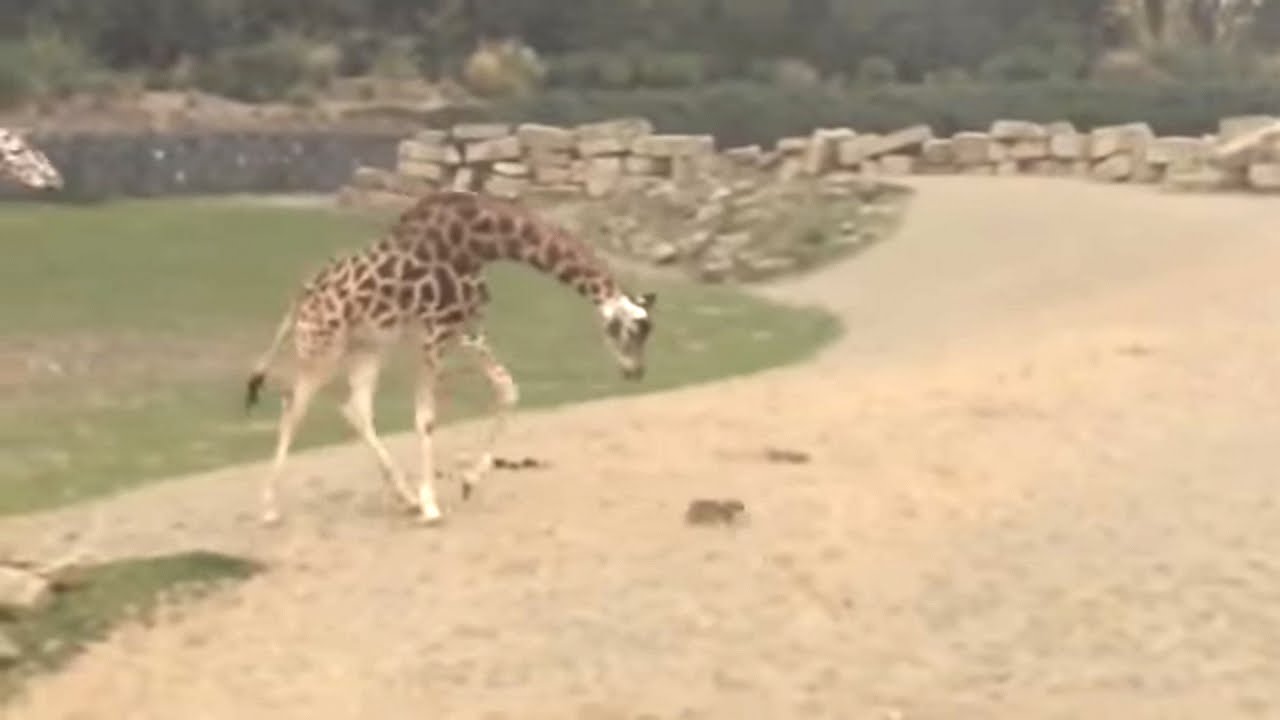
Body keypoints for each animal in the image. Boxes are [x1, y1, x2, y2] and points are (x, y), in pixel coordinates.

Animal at [245, 190, 656, 526]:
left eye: (645, 333)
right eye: (626, 332)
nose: (636, 372)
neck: (484, 244)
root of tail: (299, 299)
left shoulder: (466, 329)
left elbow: (508, 390)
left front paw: (468, 482)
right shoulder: (434, 333)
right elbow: (426, 418)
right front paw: (431, 506)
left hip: (368, 347)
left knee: (356, 407)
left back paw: (404, 497)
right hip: (321, 348)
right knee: (293, 408)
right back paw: (268, 508)